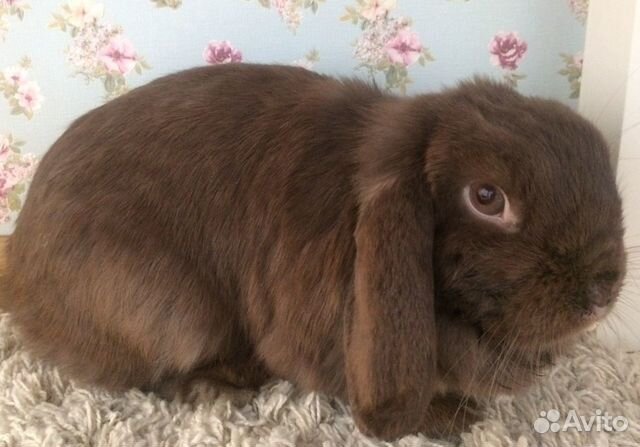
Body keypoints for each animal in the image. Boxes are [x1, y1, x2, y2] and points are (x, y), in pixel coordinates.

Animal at [0, 63, 626, 440]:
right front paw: (454, 418)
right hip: (176, 310)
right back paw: (223, 387)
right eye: (487, 197)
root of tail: (21, 261)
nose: (602, 291)